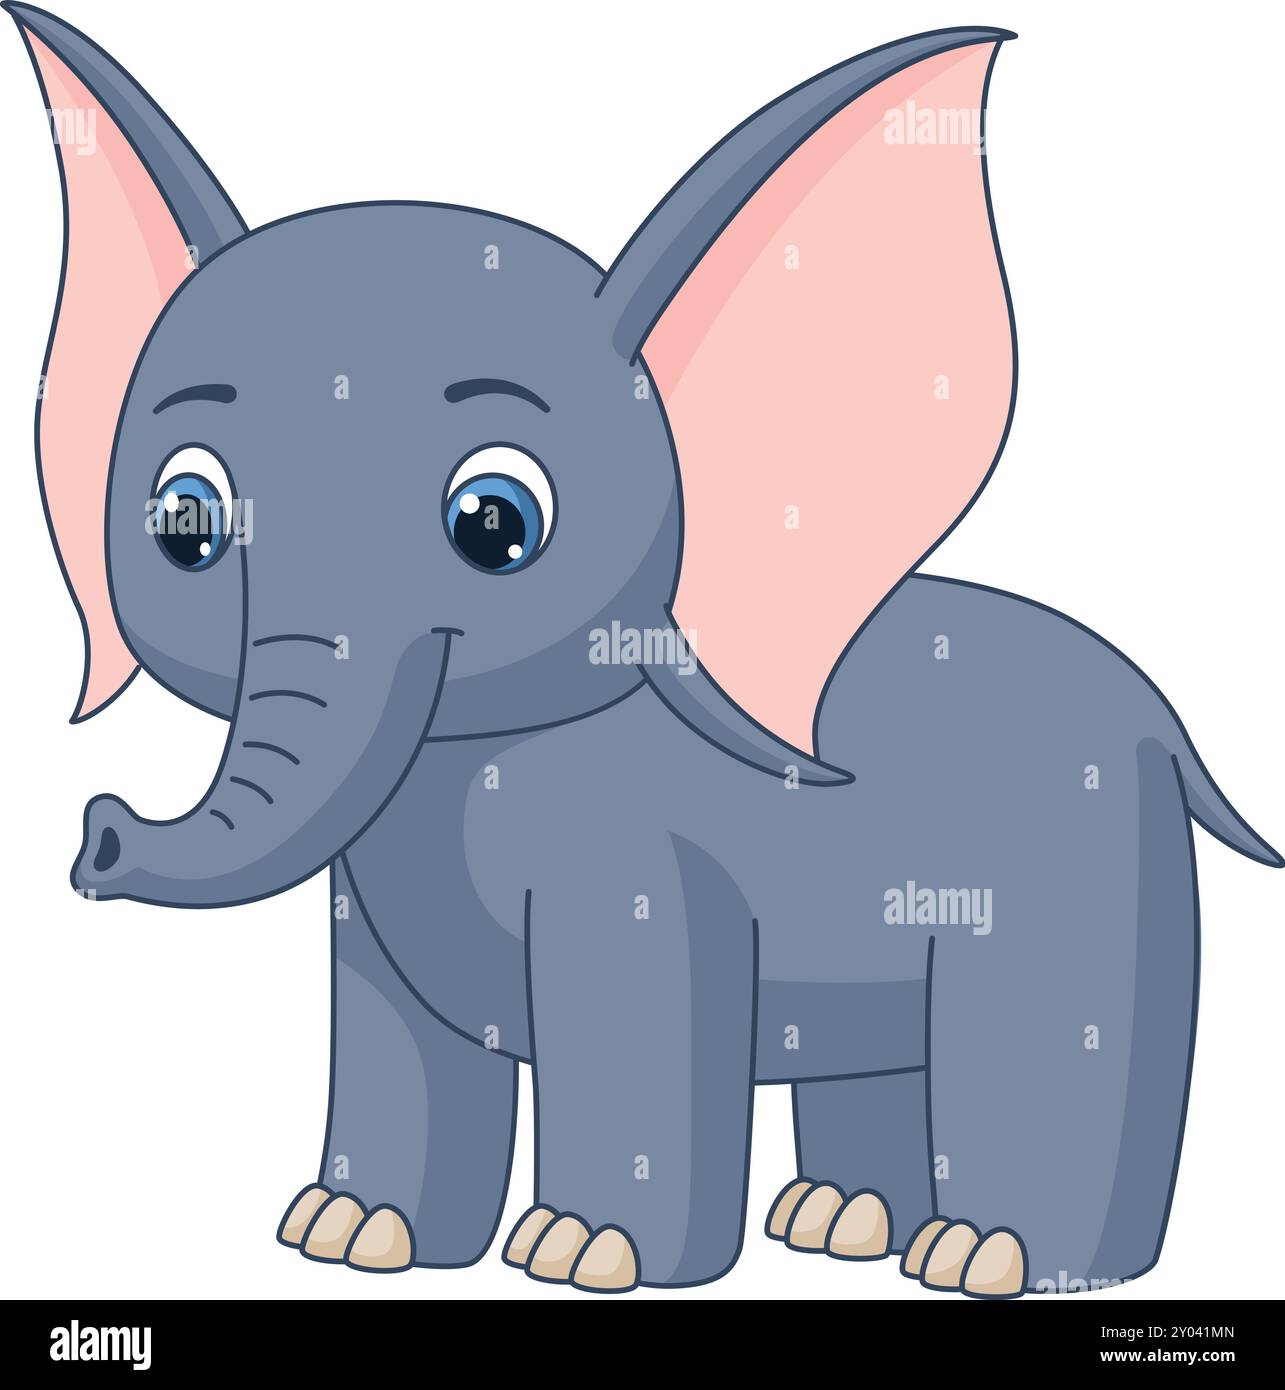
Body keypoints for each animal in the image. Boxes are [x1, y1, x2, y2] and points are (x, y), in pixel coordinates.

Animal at [7, 3, 1278, 1296]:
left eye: (494, 525)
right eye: (184, 525)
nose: (98, 830)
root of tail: (1164, 721)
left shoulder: (639, 859)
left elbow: (633, 1011)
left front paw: (580, 1251)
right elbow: (398, 1028)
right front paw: (351, 1234)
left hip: (1087, 850)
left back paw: (988, 1256)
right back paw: (840, 1223)